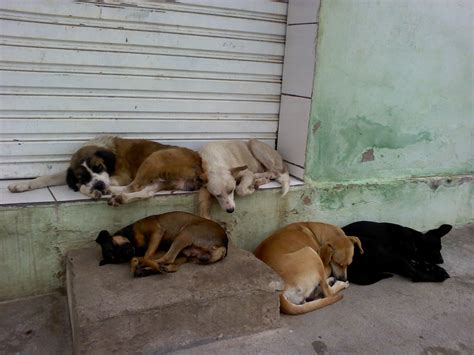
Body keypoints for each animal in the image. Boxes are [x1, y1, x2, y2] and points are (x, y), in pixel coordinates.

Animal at [7, 135, 204, 204]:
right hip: (163, 179)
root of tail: (200, 163)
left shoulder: (122, 175)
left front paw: (91, 190)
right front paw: (20, 186)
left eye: (99, 167)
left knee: (134, 186)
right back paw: (120, 197)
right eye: (82, 176)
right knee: (145, 192)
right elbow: (46, 178)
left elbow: (85, 187)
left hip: (154, 159)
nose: (99, 185)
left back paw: (111, 192)